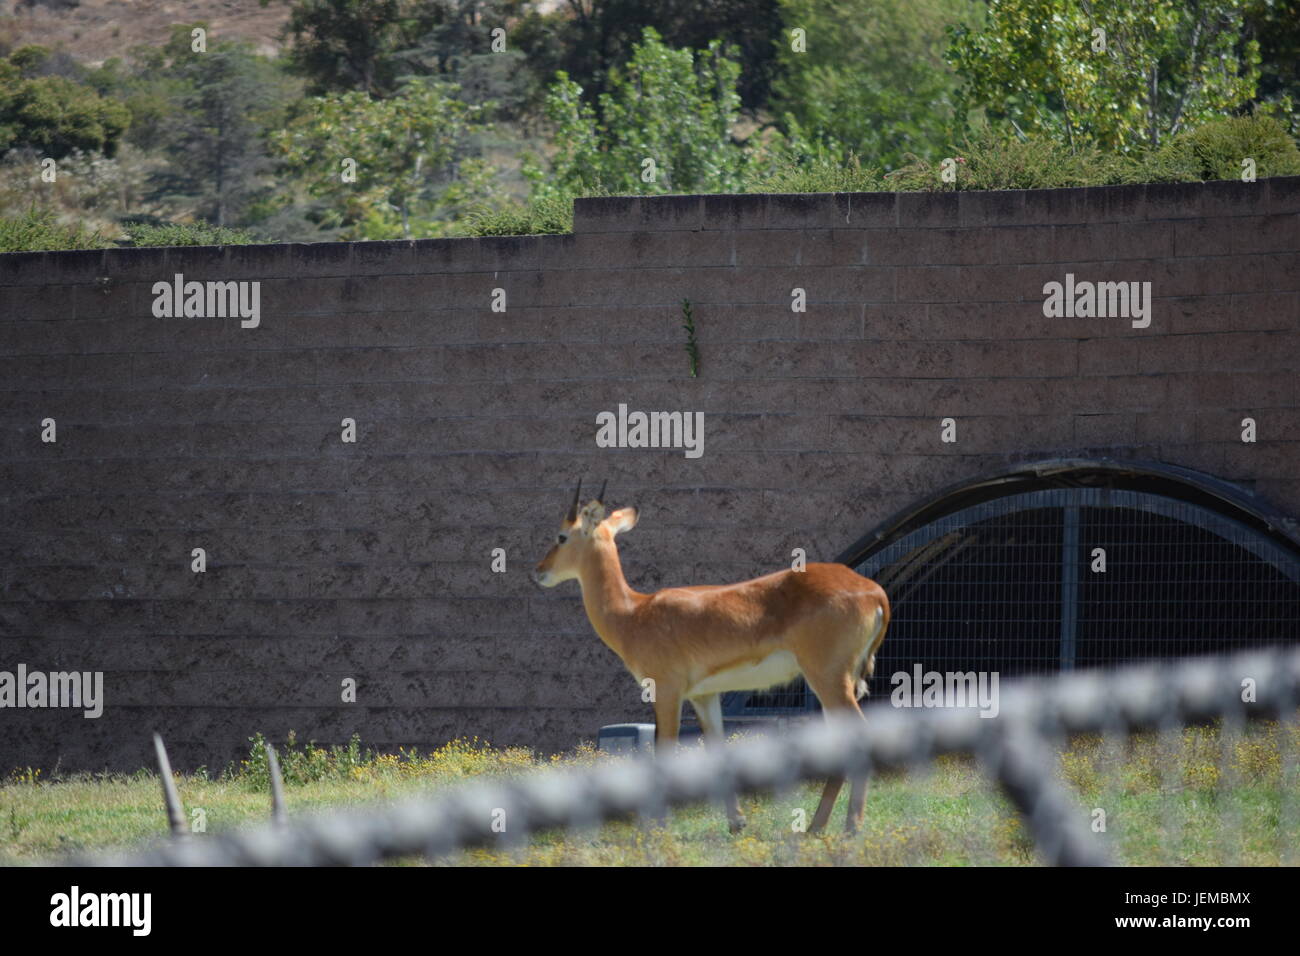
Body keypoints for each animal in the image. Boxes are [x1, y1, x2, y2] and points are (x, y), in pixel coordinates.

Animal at [532, 479, 891, 833]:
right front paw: (737, 822)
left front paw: (658, 830)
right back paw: (819, 826)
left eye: (561, 536)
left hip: (828, 678)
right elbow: (717, 751)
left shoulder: (666, 690)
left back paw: (848, 826)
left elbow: (665, 752)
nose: (539, 571)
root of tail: (875, 592)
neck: (634, 612)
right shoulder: (703, 695)